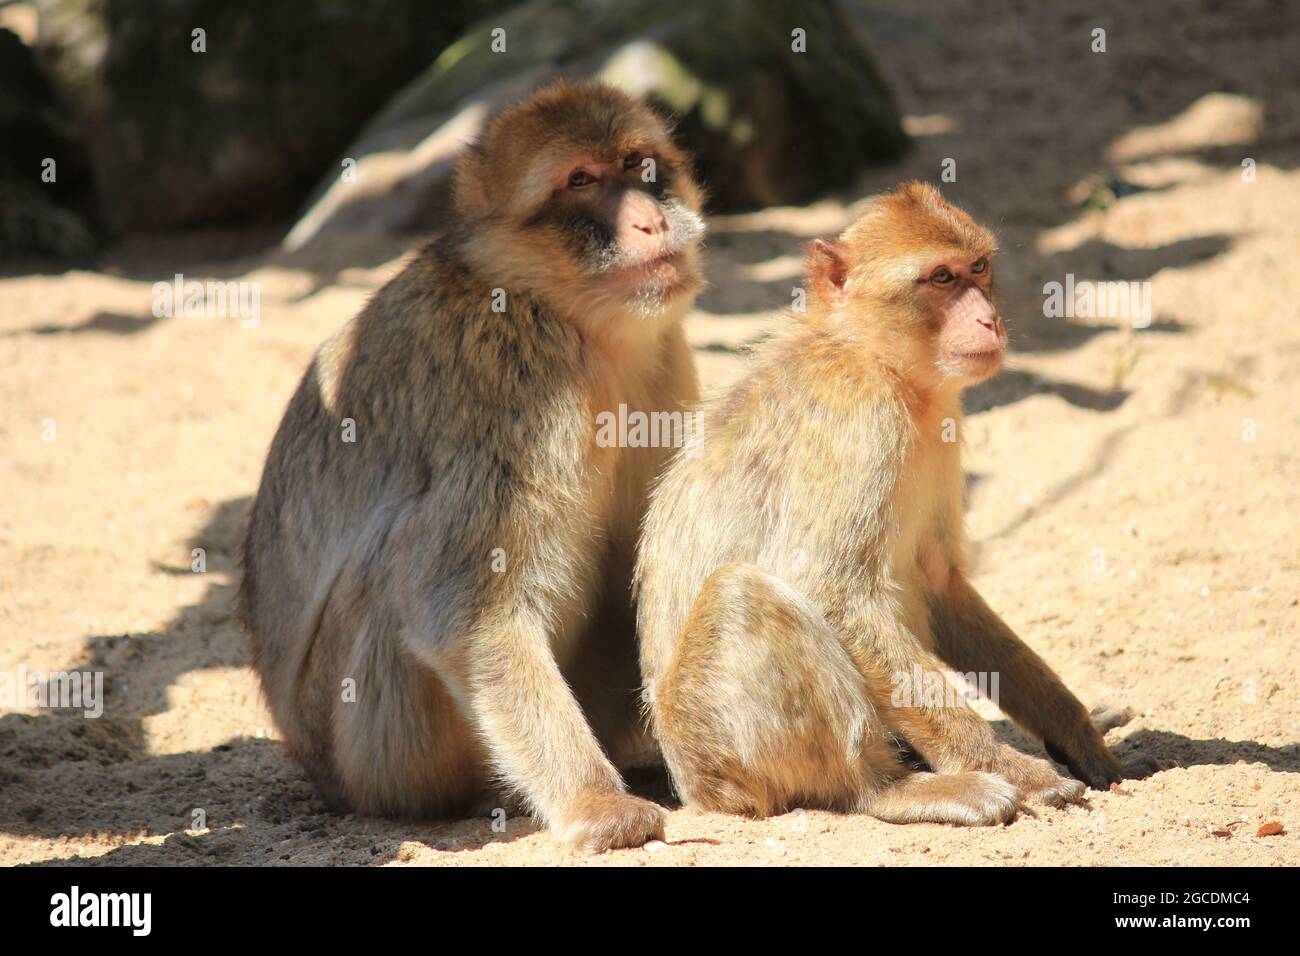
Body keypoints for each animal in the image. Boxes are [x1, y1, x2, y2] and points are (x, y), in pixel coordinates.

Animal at [237, 81, 707, 852]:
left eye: (638, 166)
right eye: (581, 181)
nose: (647, 220)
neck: (576, 322)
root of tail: (316, 770)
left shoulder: (665, 362)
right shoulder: (516, 388)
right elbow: (462, 612)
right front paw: (595, 802)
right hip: (373, 751)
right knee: (399, 557)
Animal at [634, 181, 1128, 825]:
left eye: (978, 268)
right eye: (940, 278)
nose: (988, 319)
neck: (883, 364)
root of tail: (691, 786)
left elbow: (940, 582)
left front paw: (1075, 728)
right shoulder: (860, 416)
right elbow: (832, 590)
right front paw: (1012, 767)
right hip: (719, 748)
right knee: (743, 594)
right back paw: (888, 789)